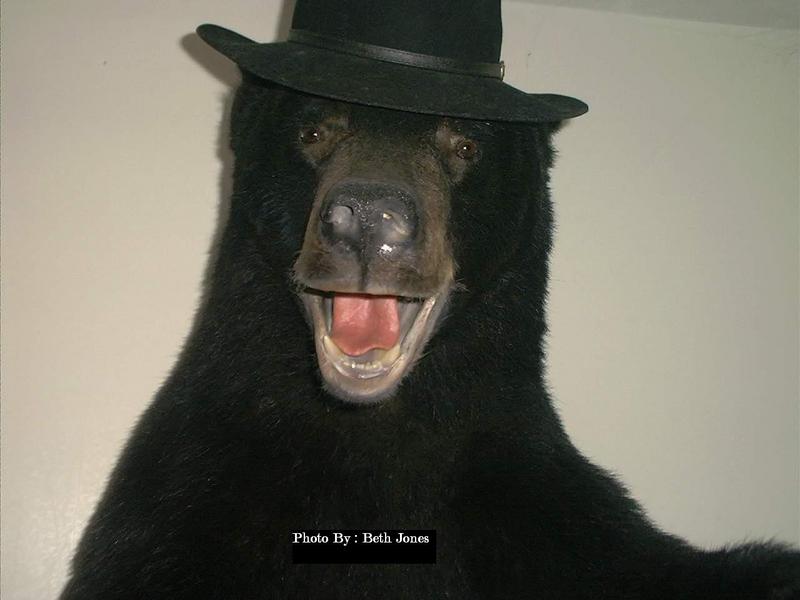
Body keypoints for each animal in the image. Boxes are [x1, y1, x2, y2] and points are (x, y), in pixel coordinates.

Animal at [60, 76, 800, 599]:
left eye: (465, 145)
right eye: (316, 129)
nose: (368, 221)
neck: (372, 438)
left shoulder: (538, 515)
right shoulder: (186, 507)